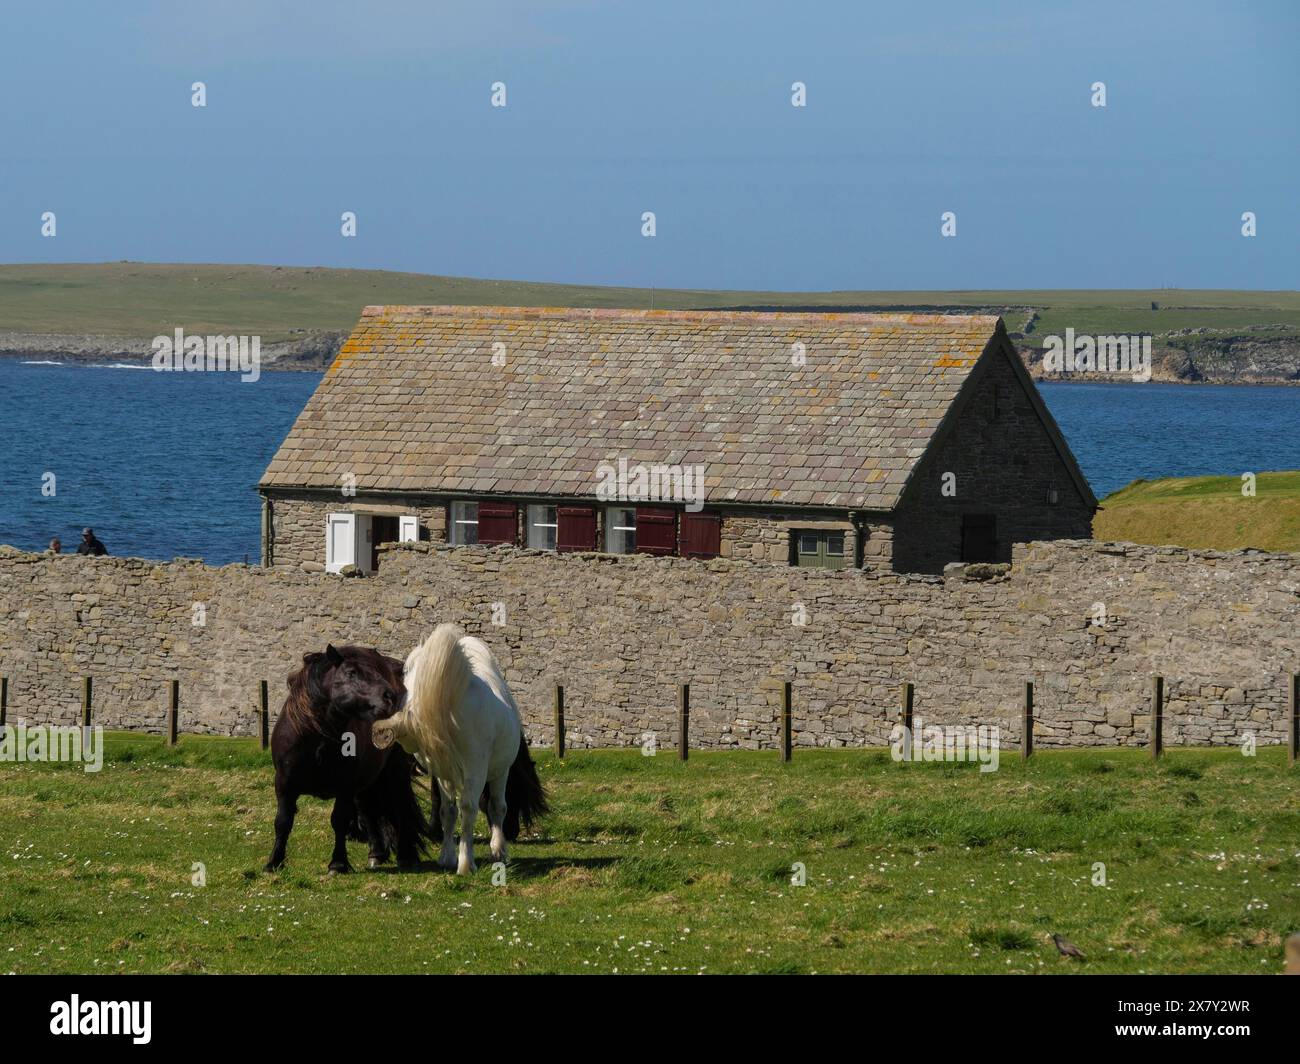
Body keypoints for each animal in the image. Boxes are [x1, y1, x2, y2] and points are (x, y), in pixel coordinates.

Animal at [265, 644, 428, 874]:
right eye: (351, 673)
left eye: (377, 672)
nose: (390, 696)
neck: (317, 740)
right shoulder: (284, 785)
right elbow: (282, 821)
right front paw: (274, 862)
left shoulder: (345, 786)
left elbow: (339, 821)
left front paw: (338, 863)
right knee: (368, 812)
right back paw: (376, 854)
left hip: (395, 772)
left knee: (400, 806)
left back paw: (406, 855)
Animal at [372, 624, 530, 874]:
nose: (513, 832)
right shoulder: (491, 771)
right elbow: (490, 808)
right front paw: (488, 852)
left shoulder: (448, 772)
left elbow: (455, 811)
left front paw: (453, 856)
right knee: (468, 808)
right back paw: (467, 861)